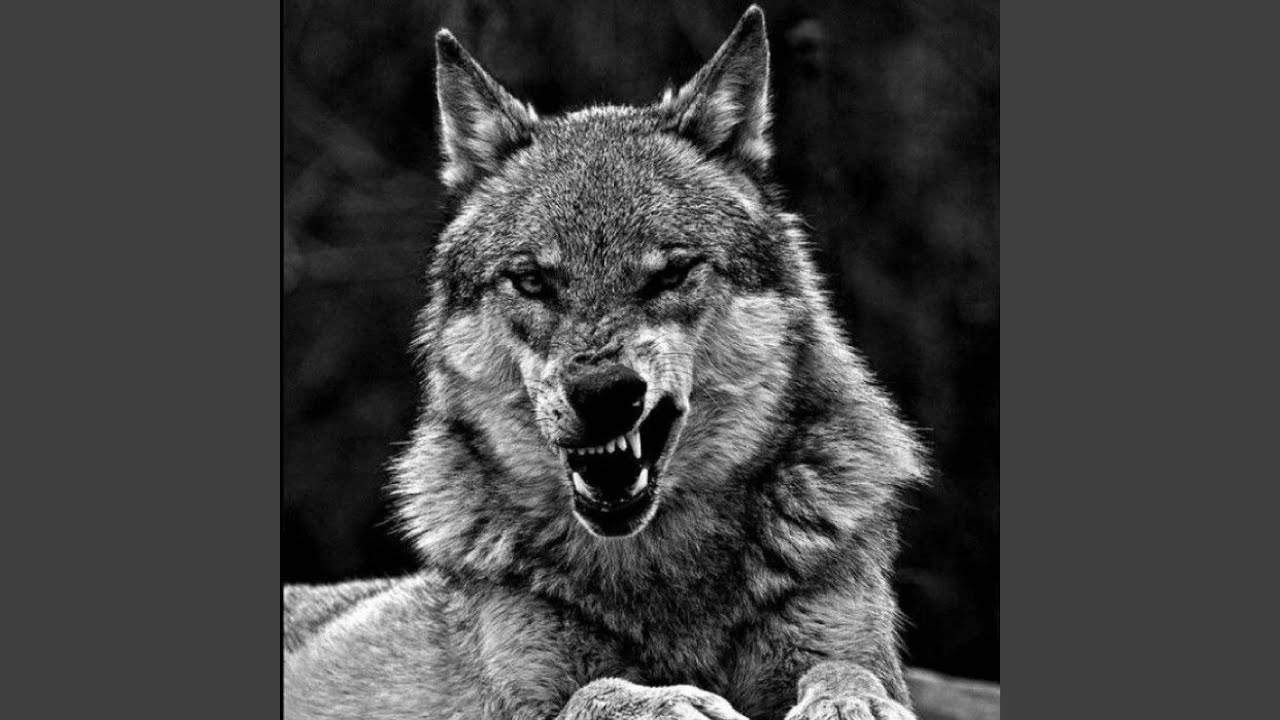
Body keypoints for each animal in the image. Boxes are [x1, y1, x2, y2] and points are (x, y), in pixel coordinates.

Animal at [283, 6, 929, 719]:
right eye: (532, 281)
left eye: (671, 273)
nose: (602, 391)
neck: (657, 570)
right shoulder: (520, 698)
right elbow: (596, 690)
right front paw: (665, 702)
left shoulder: (848, 639)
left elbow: (846, 668)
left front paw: (850, 703)